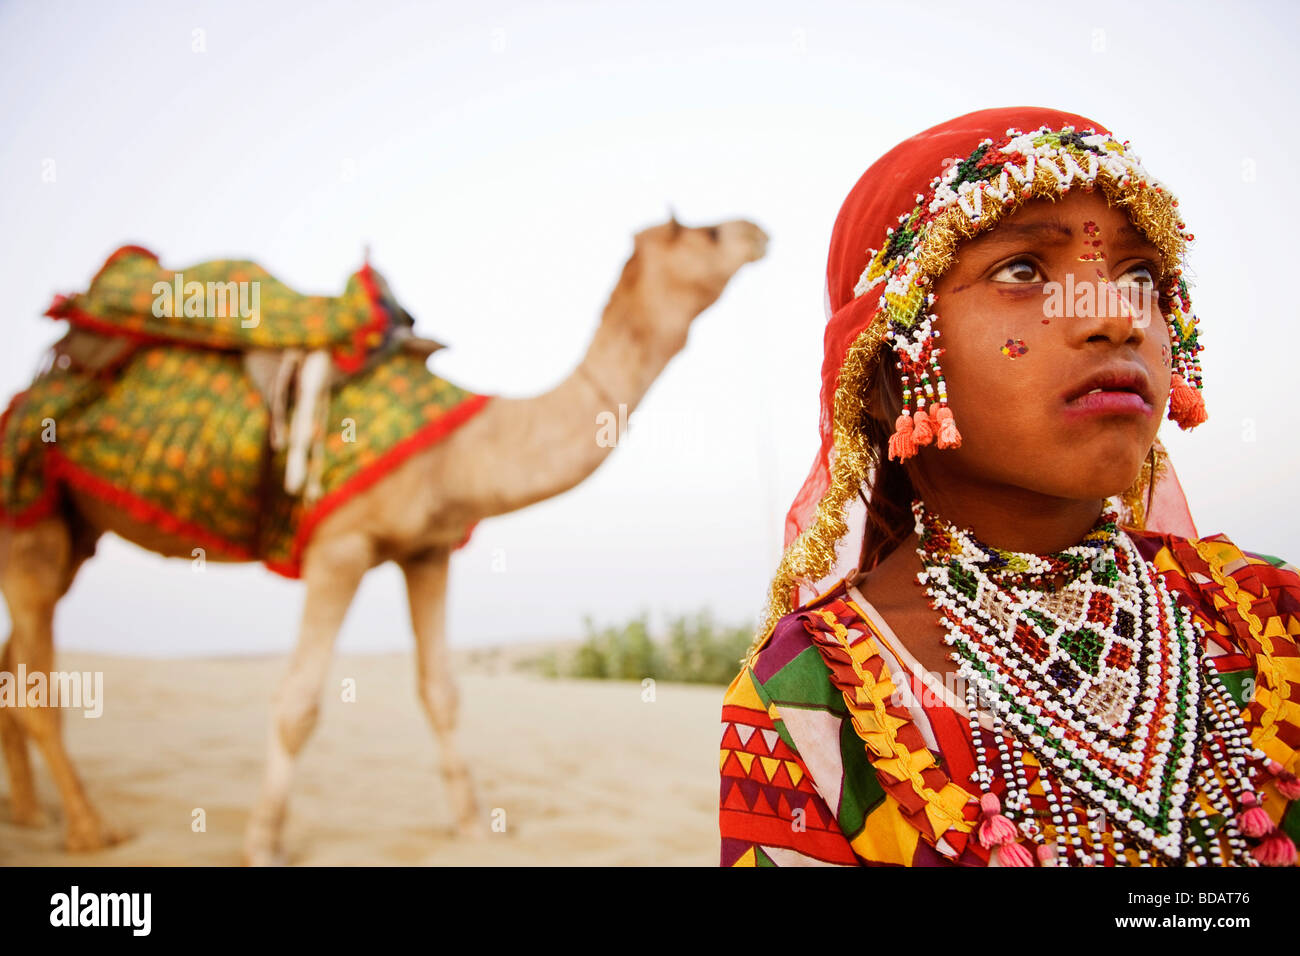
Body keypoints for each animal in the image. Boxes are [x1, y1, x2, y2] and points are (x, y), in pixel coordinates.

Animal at [0, 215, 768, 864]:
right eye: (703, 232)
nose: (756, 230)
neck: (461, 450)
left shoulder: (427, 551)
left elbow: (442, 691)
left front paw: (471, 824)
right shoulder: (339, 548)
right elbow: (299, 702)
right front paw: (263, 843)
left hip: (75, 527)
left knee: (20, 664)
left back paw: (34, 817)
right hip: (29, 505)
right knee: (36, 680)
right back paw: (92, 828)